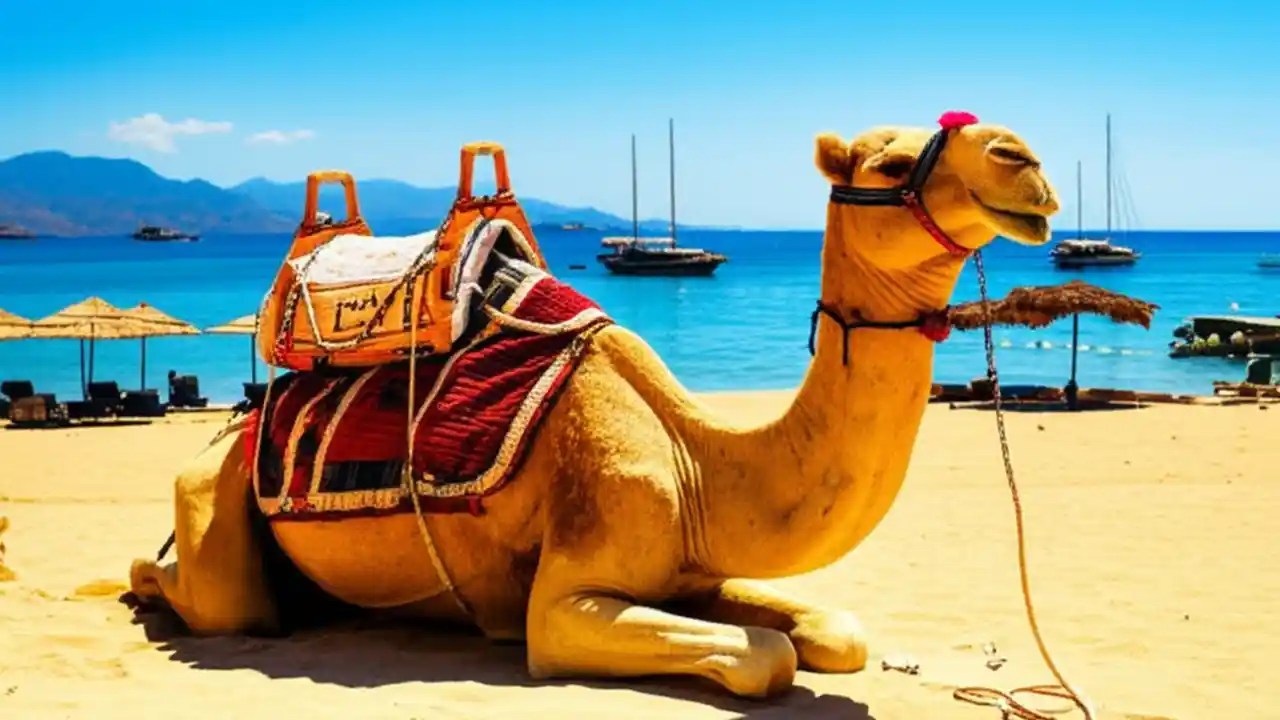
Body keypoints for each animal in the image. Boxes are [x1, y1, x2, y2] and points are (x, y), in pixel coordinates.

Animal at [128, 112, 1059, 698]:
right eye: (893, 165)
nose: (1023, 159)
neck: (697, 467)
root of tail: (244, 420)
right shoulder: (566, 601)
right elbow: (765, 658)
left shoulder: (696, 569)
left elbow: (832, 632)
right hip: (212, 496)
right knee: (209, 593)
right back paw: (143, 580)